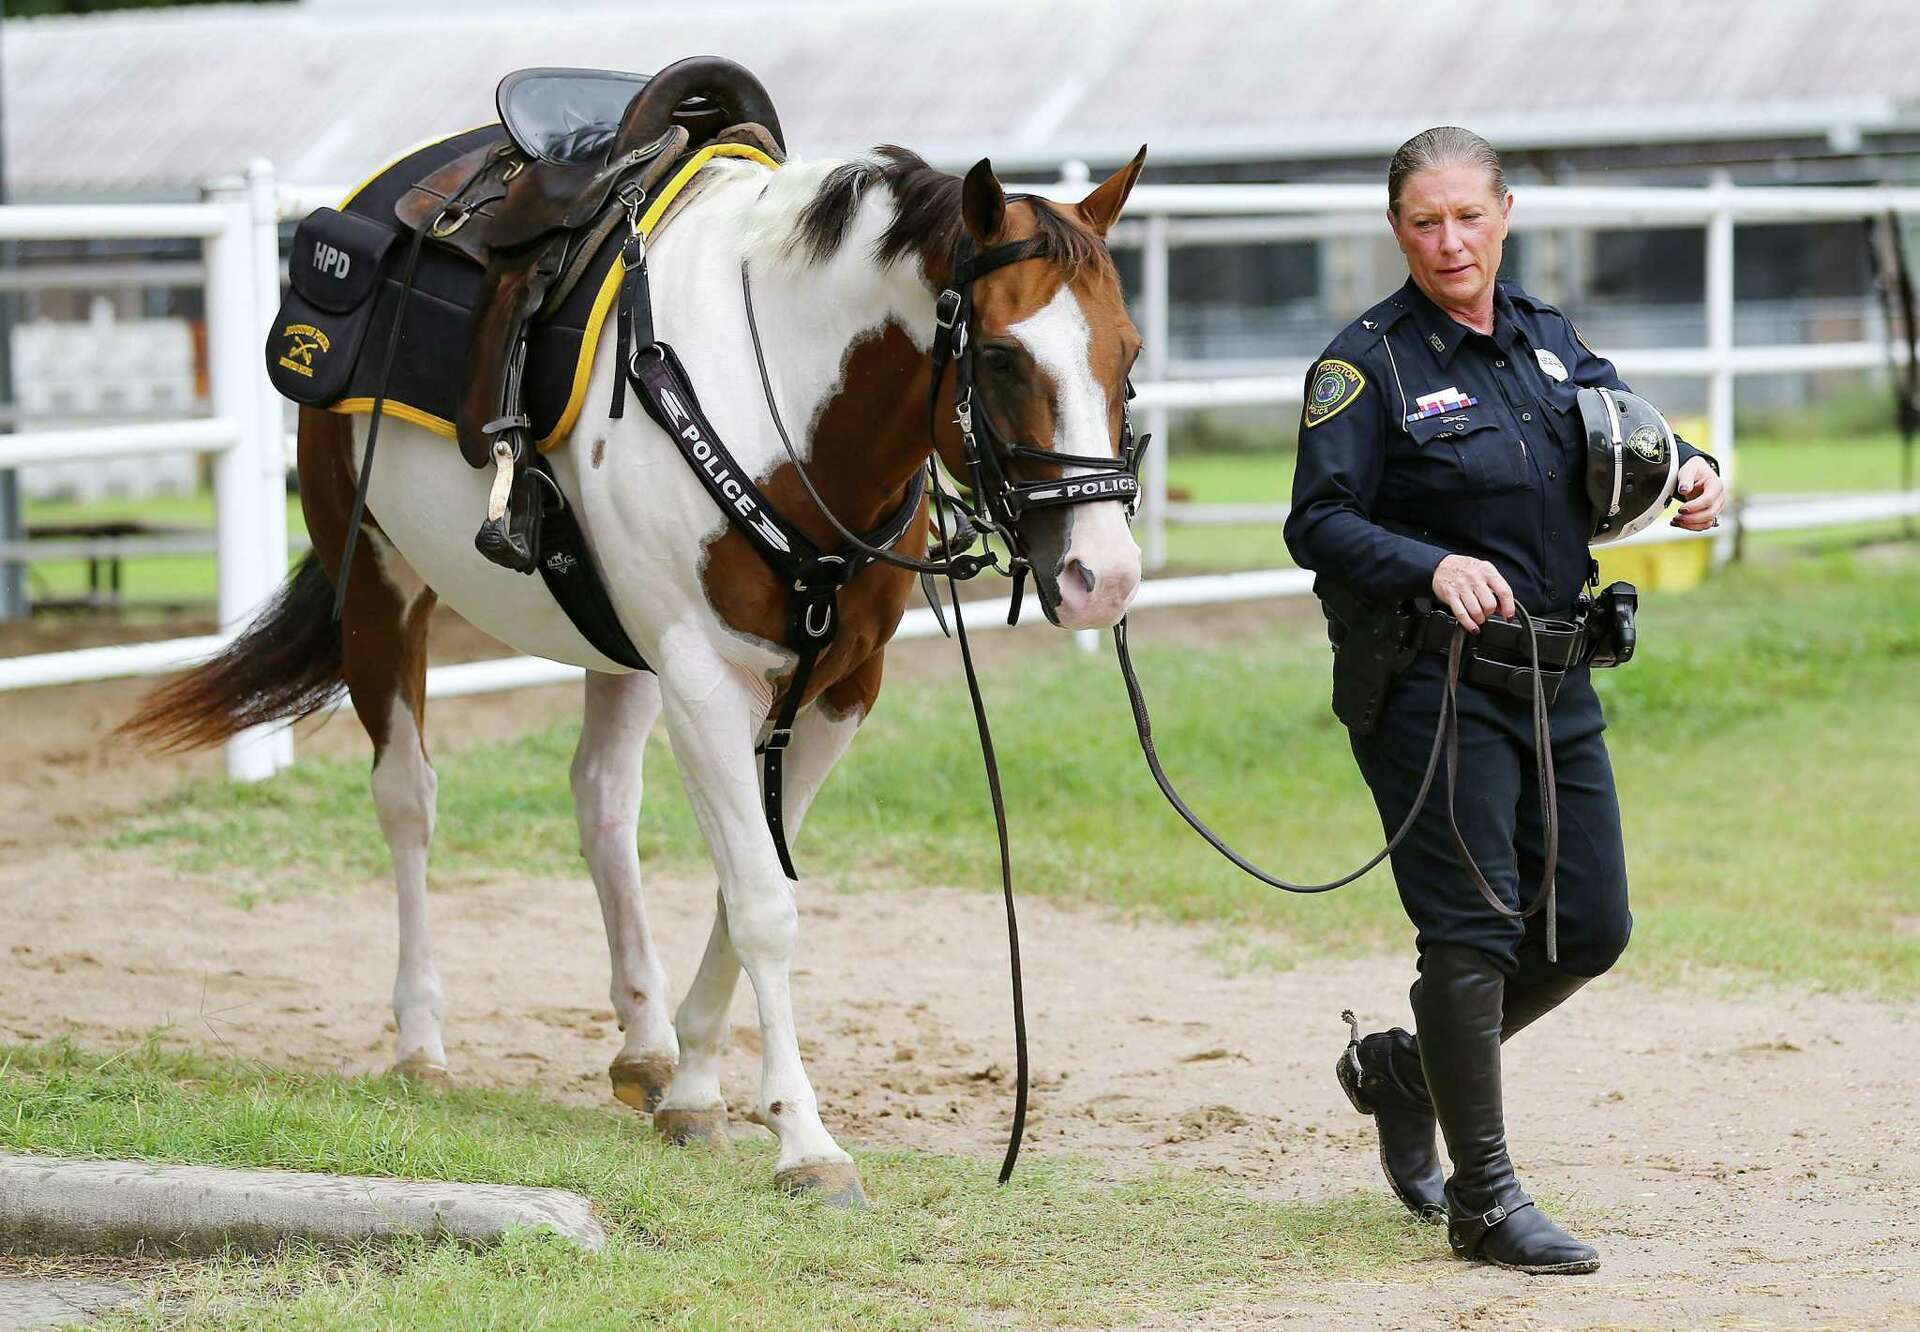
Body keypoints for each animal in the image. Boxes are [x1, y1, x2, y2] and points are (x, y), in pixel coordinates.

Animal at [126, 142, 1148, 1206]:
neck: (785, 405)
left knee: (602, 802)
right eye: (1001, 358)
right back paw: (420, 1043)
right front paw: (805, 1142)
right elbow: (761, 903)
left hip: (618, 645)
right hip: (377, 583)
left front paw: (695, 1088)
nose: (1103, 577)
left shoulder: (839, 689)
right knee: (408, 799)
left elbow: (738, 887)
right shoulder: (700, 674)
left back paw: (646, 1045)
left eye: (1129, 355)